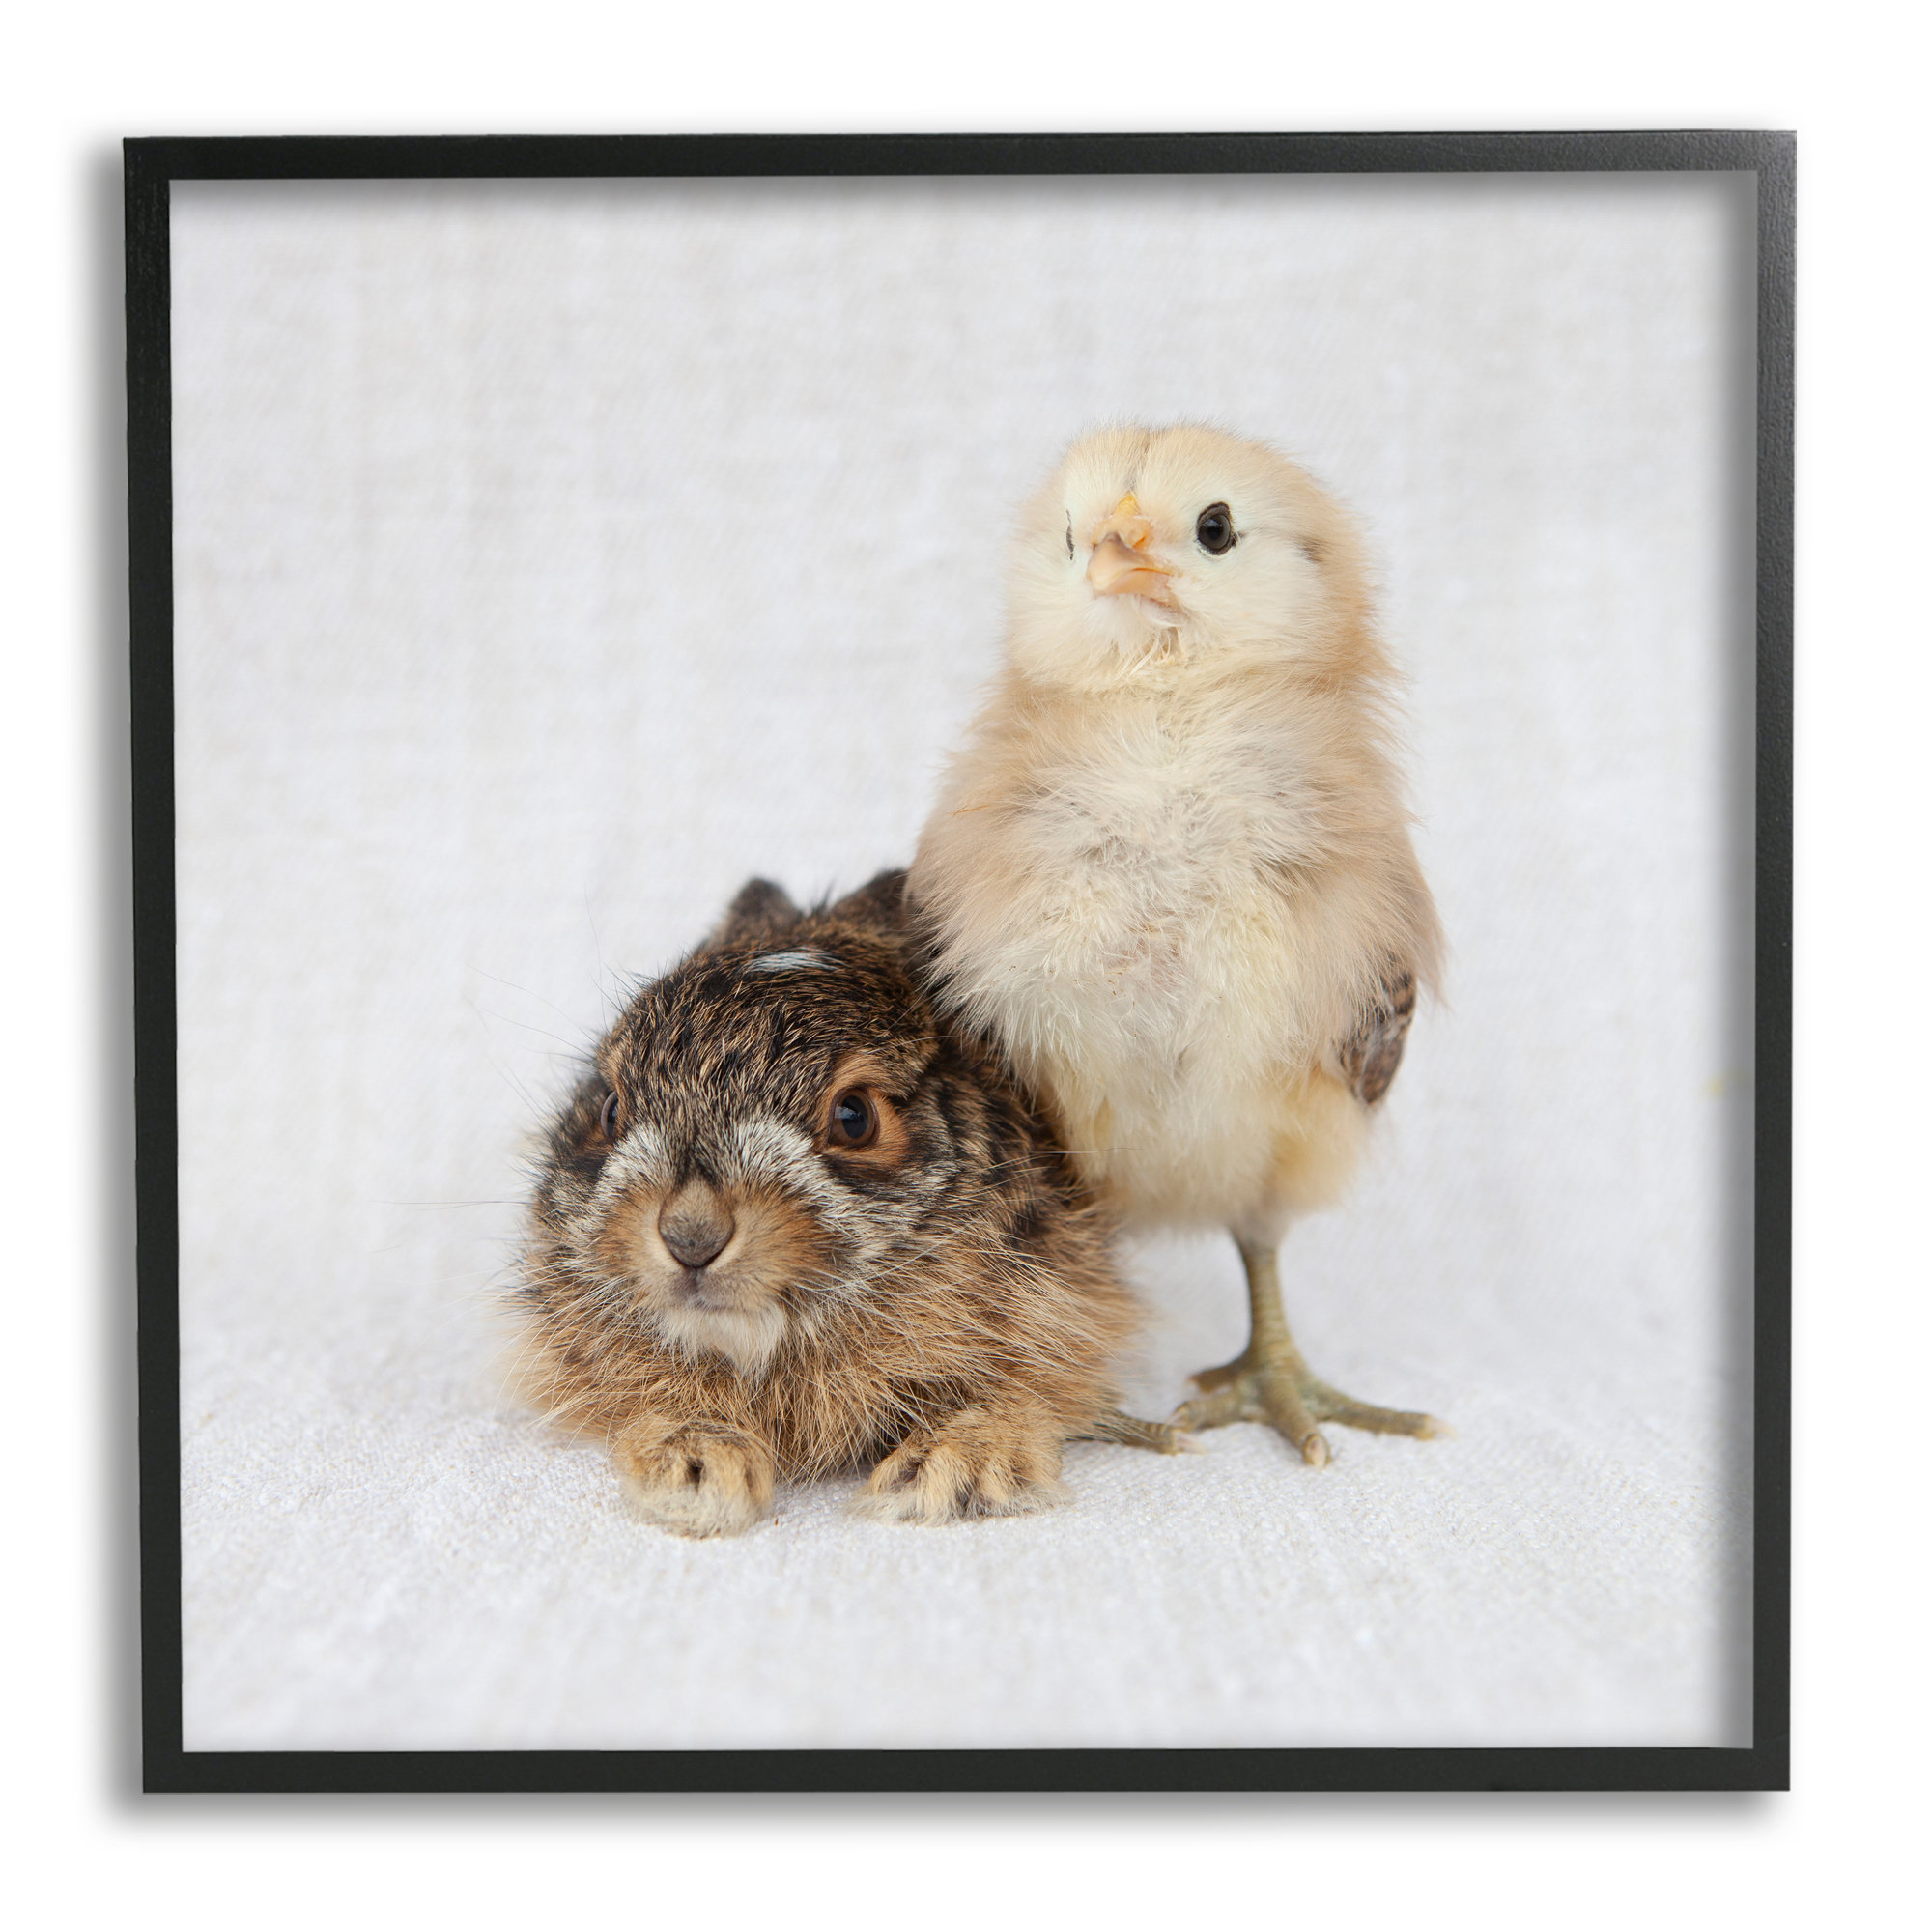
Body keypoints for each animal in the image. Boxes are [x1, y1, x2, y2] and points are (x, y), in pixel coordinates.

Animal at [512, 869, 1149, 1538]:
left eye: (855, 1118)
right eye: (611, 1110)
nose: (691, 1237)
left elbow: (1020, 1392)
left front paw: (948, 1474)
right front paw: (696, 1472)